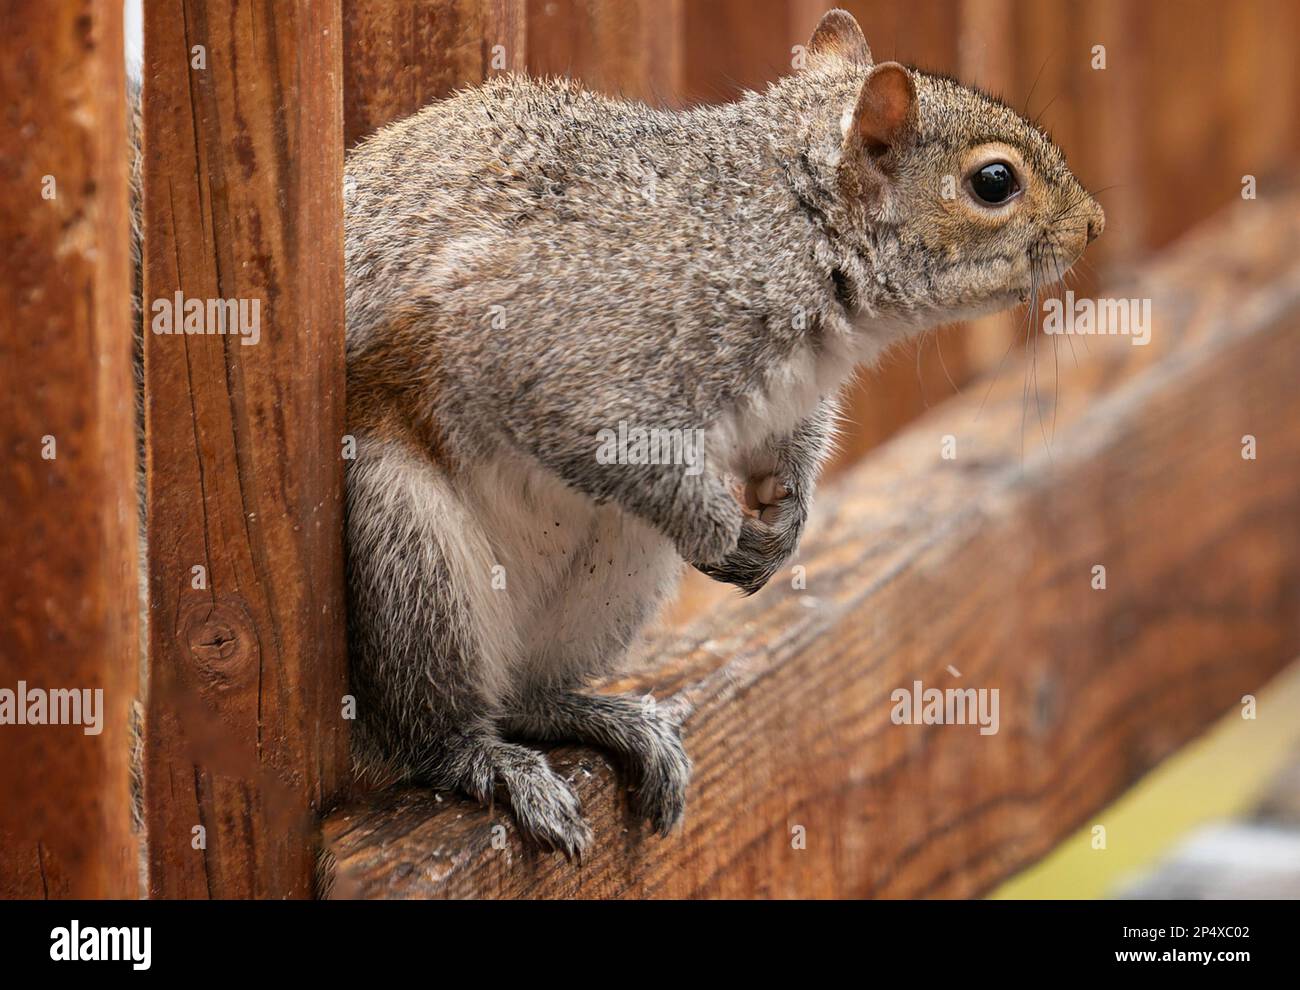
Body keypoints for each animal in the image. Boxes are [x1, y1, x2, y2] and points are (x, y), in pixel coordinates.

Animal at [342, 8, 1104, 857]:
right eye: (994, 182)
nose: (1094, 225)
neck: (793, 228)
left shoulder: (787, 400)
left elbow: (788, 453)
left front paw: (785, 520)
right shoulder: (549, 338)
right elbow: (584, 424)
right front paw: (716, 527)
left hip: (612, 575)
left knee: (523, 697)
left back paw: (601, 718)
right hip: (409, 555)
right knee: (432, 728)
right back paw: (486, 760)